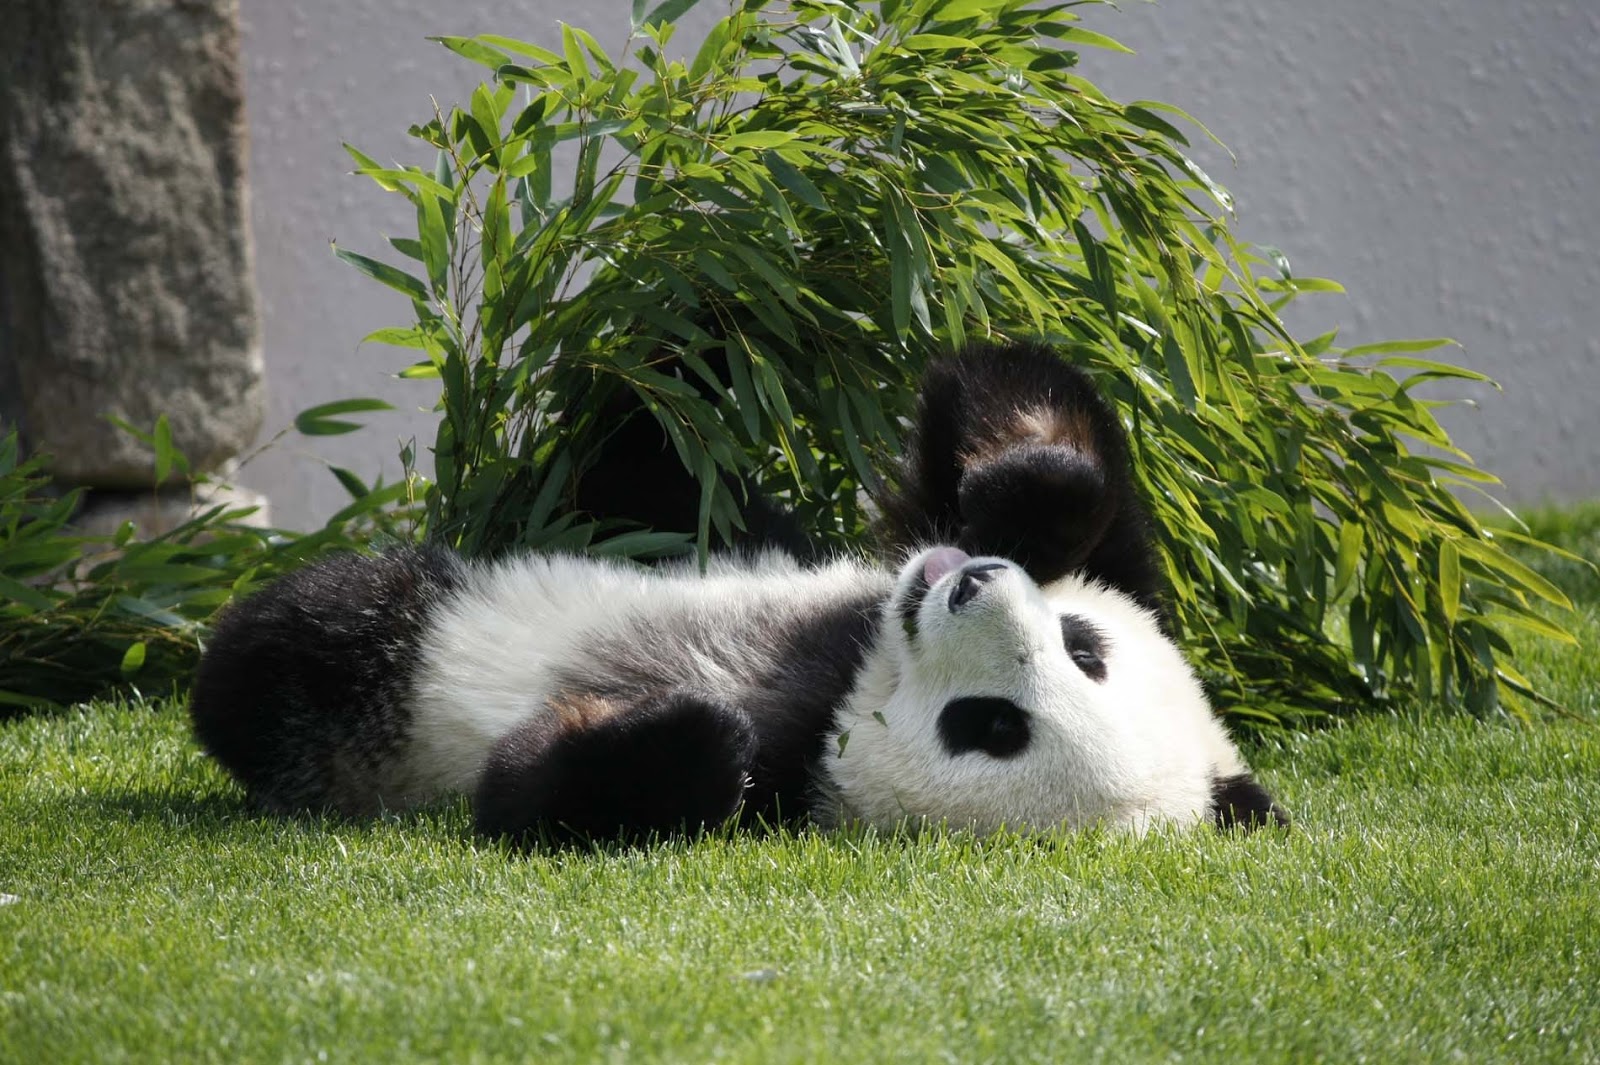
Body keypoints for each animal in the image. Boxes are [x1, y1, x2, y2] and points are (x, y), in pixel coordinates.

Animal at [189, 342, 1287, 844]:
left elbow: (539, 795)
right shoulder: (1115, 562)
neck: (857, 671)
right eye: (1082, 643)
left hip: (386, 686)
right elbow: (1039, 409)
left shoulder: (800, 785)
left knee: (309, 643)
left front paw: (683, 727)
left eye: (993, 728)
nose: (969, 583)